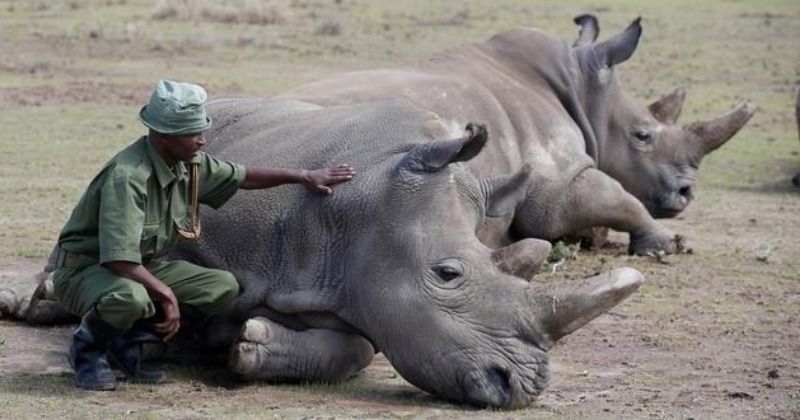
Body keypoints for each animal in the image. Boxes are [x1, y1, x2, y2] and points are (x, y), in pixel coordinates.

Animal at [277, 15, 756, 254]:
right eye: (643, 136)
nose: (686, 192)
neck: (580, 84)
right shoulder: (557, 180)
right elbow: (616, 197)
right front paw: (668, 244)